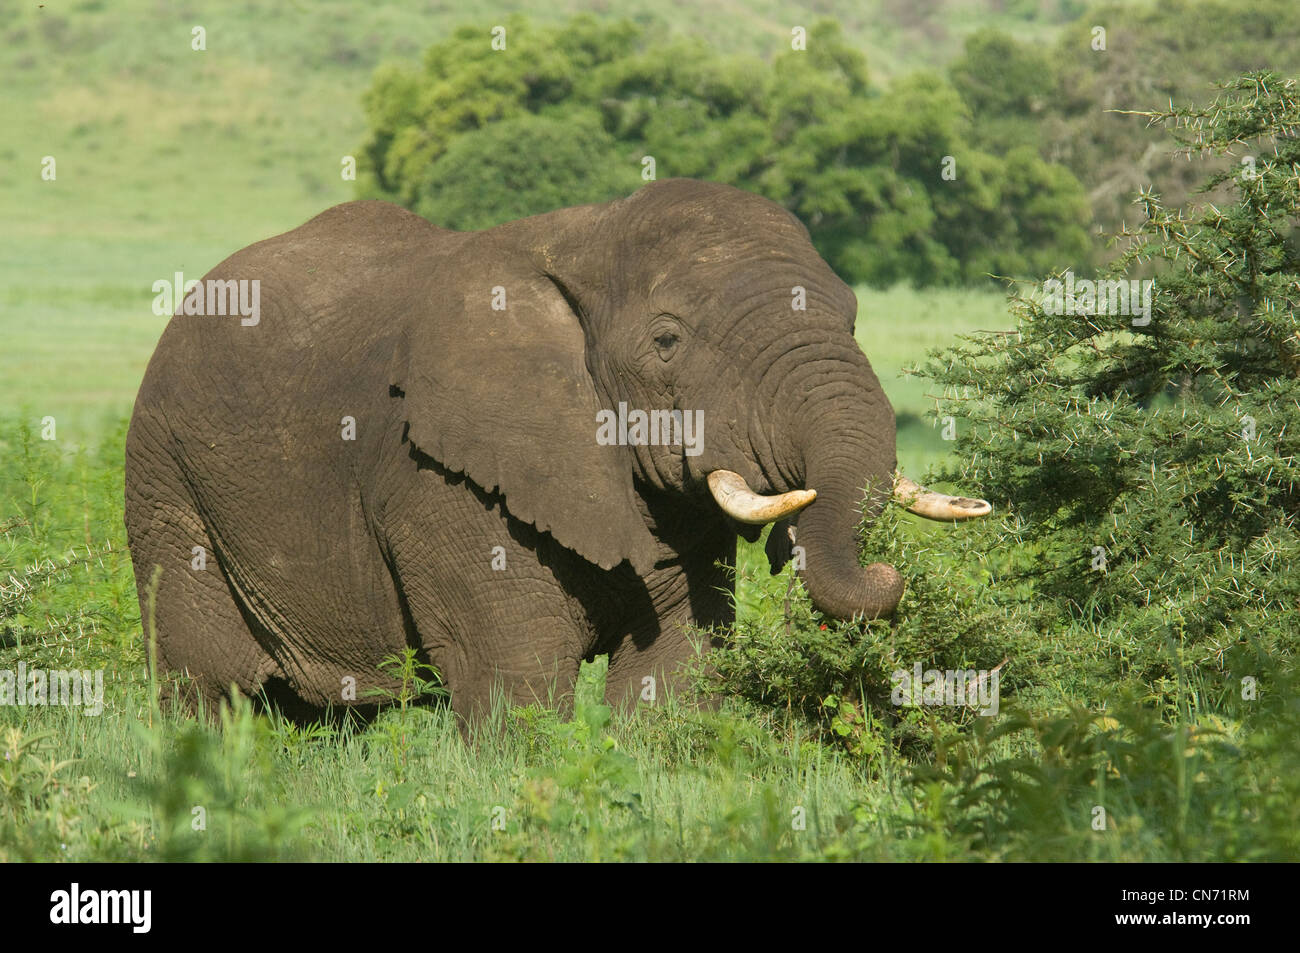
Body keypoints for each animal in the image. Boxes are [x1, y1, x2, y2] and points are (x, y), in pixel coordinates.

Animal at [124, 178, 990, 726]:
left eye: (853, 319)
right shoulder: (439, 473)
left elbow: (675, 672)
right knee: (210, 683)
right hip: (165, 473)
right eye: (667, 342)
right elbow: (518, 675)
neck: (587, 237)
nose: (891, 575)